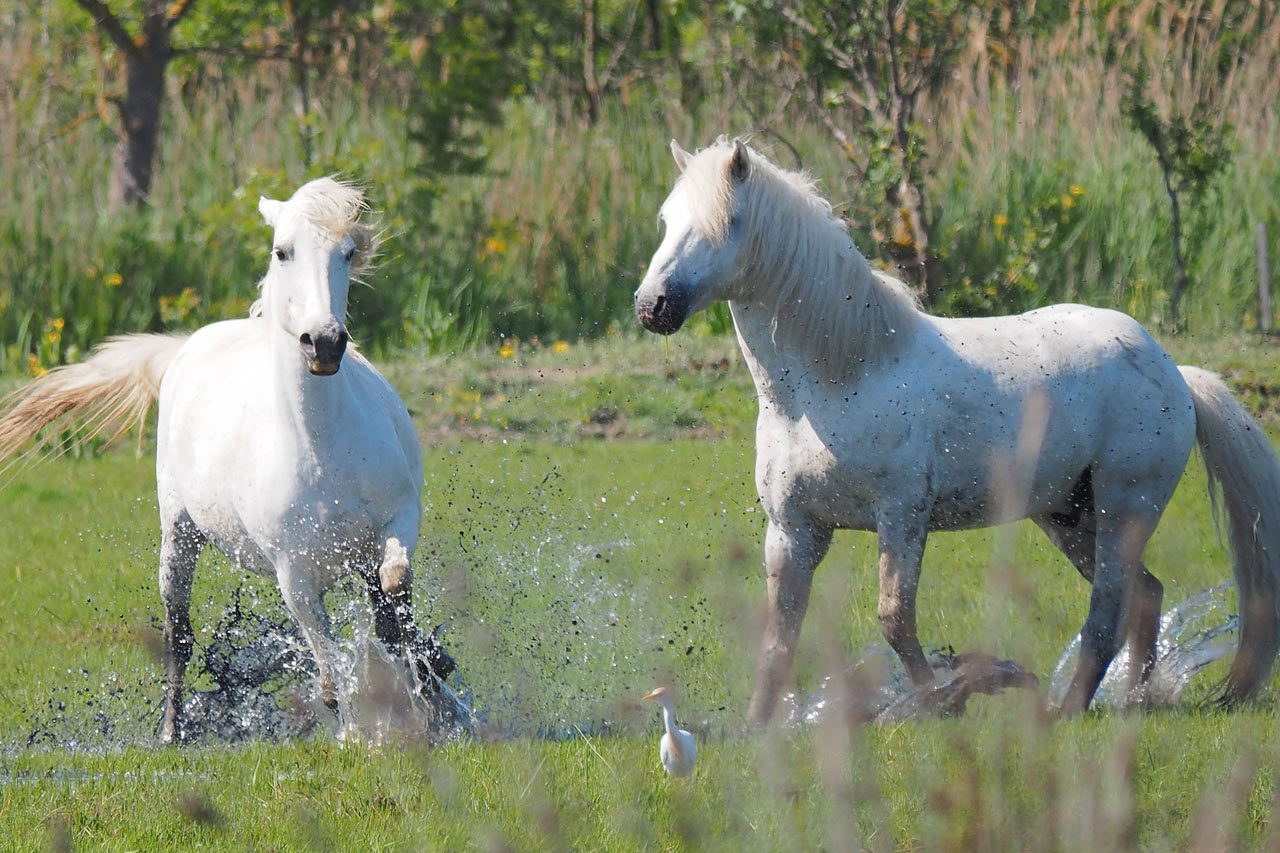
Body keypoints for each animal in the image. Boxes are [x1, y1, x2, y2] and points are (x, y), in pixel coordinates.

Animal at [0, 178, 456, 742]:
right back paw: (171, 733)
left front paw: (435, 681)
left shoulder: (398, 520)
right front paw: (355, 727)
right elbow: (328, 657)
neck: (324, 450)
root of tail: (189, 345)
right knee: (178, 635)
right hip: (178, 533)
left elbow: (395, 594)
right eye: (281, 251)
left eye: (348, 253)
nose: (324, 343)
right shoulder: (293, 575)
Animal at [634, 137, 1280, 724]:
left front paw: (950, 698)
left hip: (1124, 509)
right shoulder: (794, 531)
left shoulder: (901, 517)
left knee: (1108, 611)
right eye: (666, 220)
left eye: (729, 222)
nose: (651, 306)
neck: (836, 379)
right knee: (1145, 597)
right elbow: (779, 636)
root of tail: (1175, 372)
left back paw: (1070, 710)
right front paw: (758, 729)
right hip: (1069, 517)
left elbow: (895, 618)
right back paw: (1134, 701)